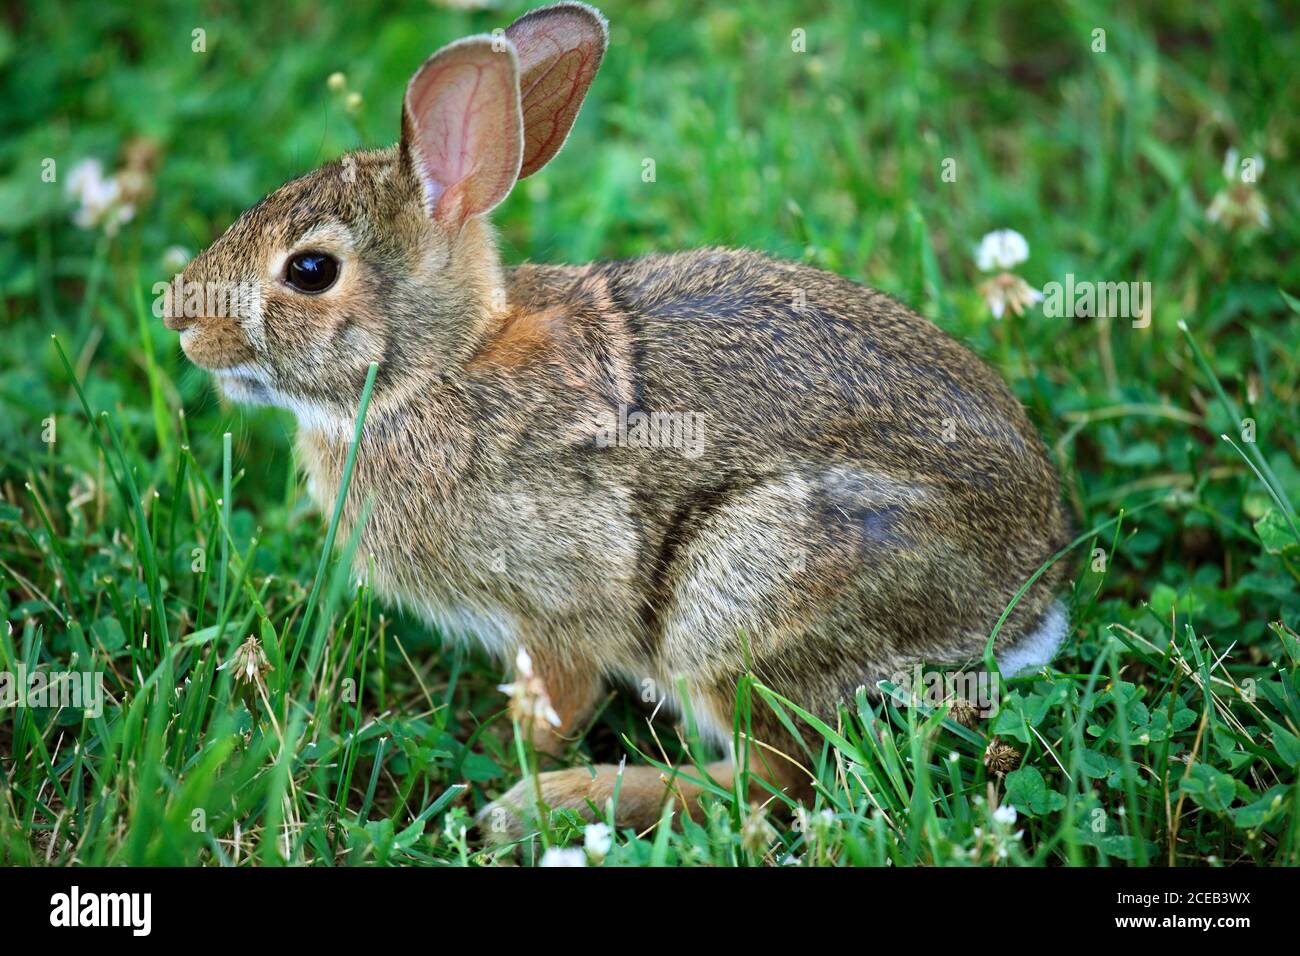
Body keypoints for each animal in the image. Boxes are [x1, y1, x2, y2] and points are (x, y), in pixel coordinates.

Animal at [164, 1, 1072, 844]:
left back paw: (560, 803)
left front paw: (514, 763)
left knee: (773, 783)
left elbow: (555, 703)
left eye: (311, 270)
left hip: (738, 593)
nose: (178, 316)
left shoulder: (554, 608)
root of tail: (1032, 602)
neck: (438, 368)